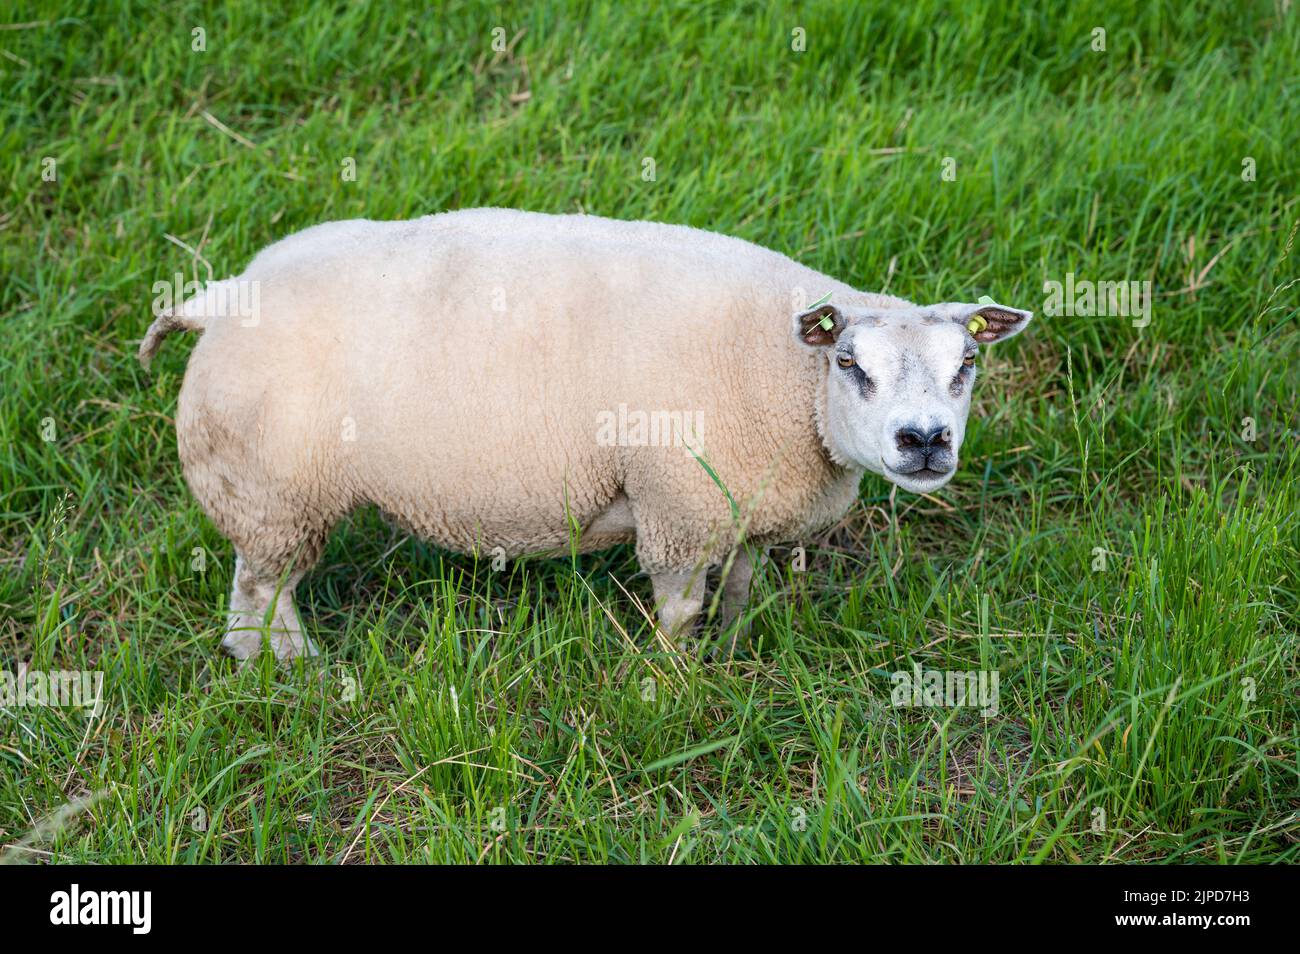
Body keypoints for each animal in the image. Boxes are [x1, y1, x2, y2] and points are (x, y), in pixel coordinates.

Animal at [138, 208, 1031, 660]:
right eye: (849, 362)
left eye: (967, 365)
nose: (924, 439)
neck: (786, 377)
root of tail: (221, 296)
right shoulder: (678, 500)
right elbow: (678, 606)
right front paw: (672, 681)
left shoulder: (741, 500)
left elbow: (742, 581)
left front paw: (735, 645)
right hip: (272, 487)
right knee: (260, 593)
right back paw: (292, 671)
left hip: (272, 492)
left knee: (259, 589)